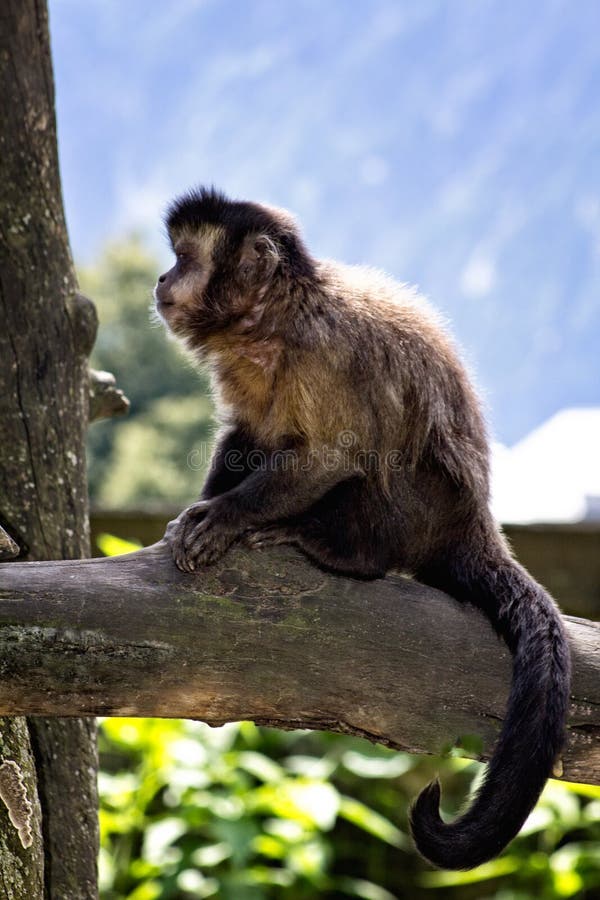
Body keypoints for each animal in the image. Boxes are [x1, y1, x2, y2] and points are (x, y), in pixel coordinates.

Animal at [154, 186, 571, 871]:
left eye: (185, 258)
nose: (163, 278)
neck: (275, 320)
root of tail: (474, 525)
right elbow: (248, 437)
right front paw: (202, 511)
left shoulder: (323, 350)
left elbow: (331, 454)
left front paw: (227, 517)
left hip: (420, 518)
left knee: (378, 456)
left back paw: (336, 549)